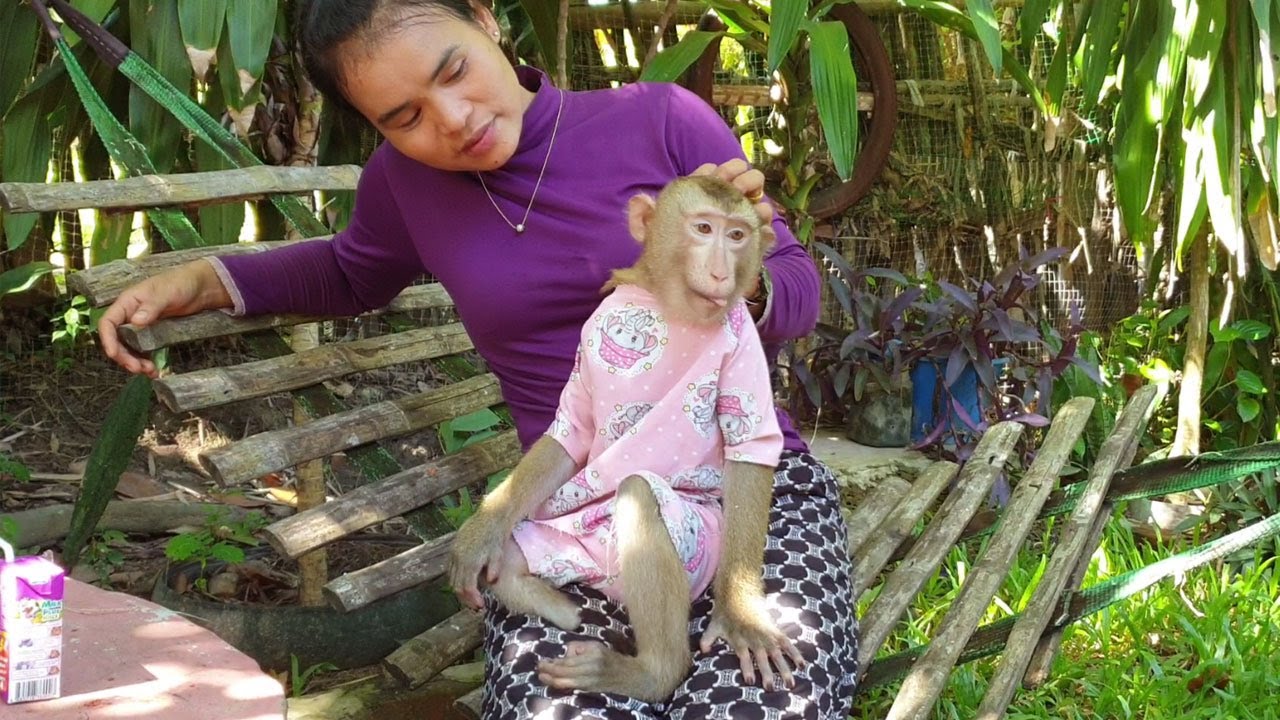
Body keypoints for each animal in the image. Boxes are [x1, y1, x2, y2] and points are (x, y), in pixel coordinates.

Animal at [447, 175, 803, 702]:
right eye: (703, 229)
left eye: (737, 235)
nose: (721, 273)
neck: (666, 307)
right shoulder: (593, 330)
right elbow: (572, 432)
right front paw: (480, 533)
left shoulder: (743, 337)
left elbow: (750, 448)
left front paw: (741, 616)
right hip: (572, 543)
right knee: (521, 549)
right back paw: (544, 596)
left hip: (698, 548)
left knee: (638, 493)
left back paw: (653, 672)